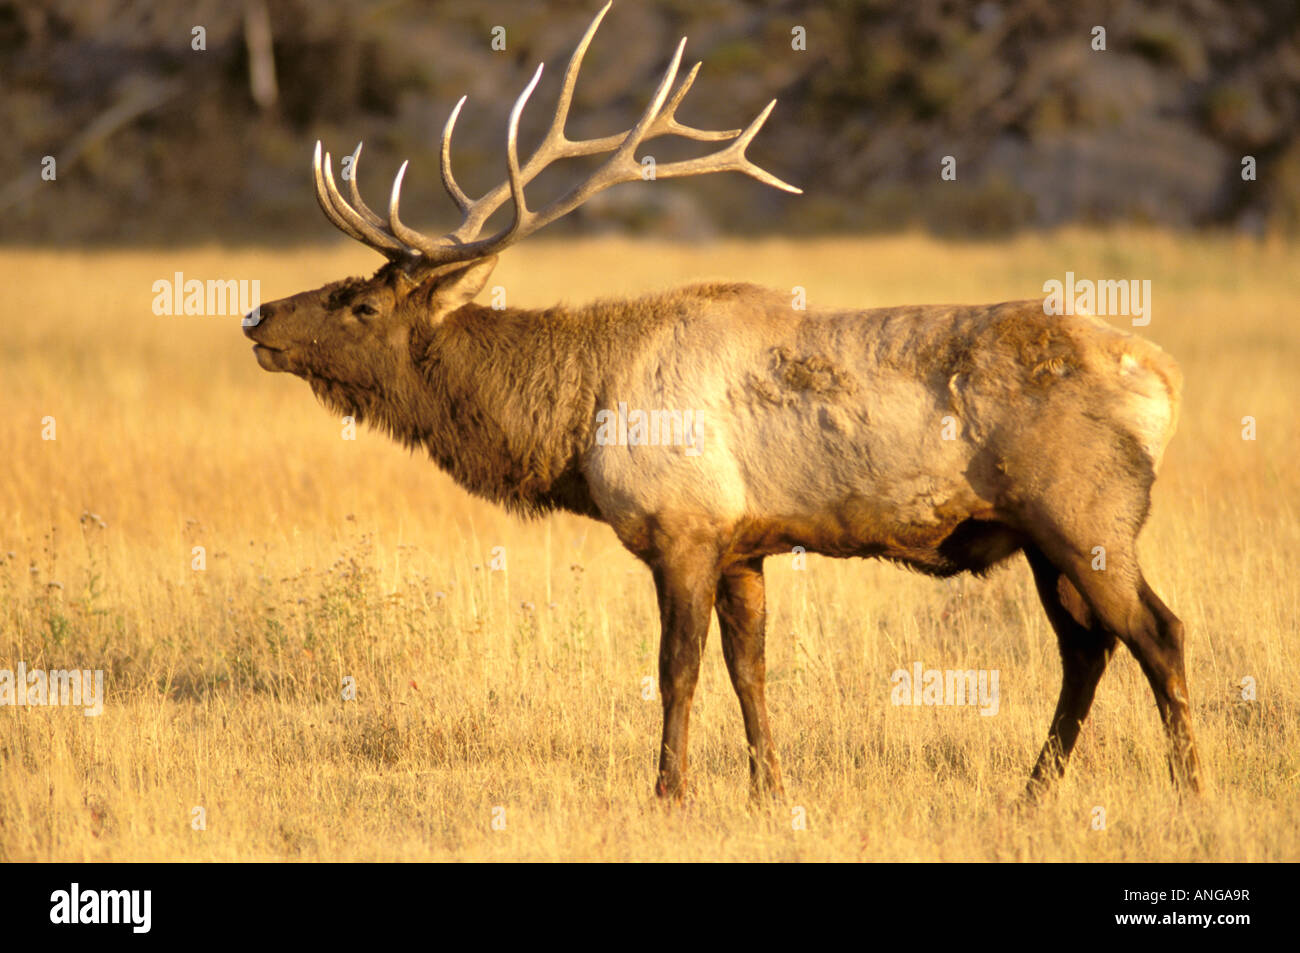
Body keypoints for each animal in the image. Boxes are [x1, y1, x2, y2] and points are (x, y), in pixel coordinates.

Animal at [243, 2, 1201, 802]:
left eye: (362, 306)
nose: (257, 316)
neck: (581, 420)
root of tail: (1167, 376)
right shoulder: (746, 546)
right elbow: (752, 672)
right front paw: (768, 790)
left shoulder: (684, 528)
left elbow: (677, 671)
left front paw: (669, 792)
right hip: (1043, 537)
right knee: (1087, 647)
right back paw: (1034, 791)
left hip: (1084, 514)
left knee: (1157, 632)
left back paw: (1190, 786)